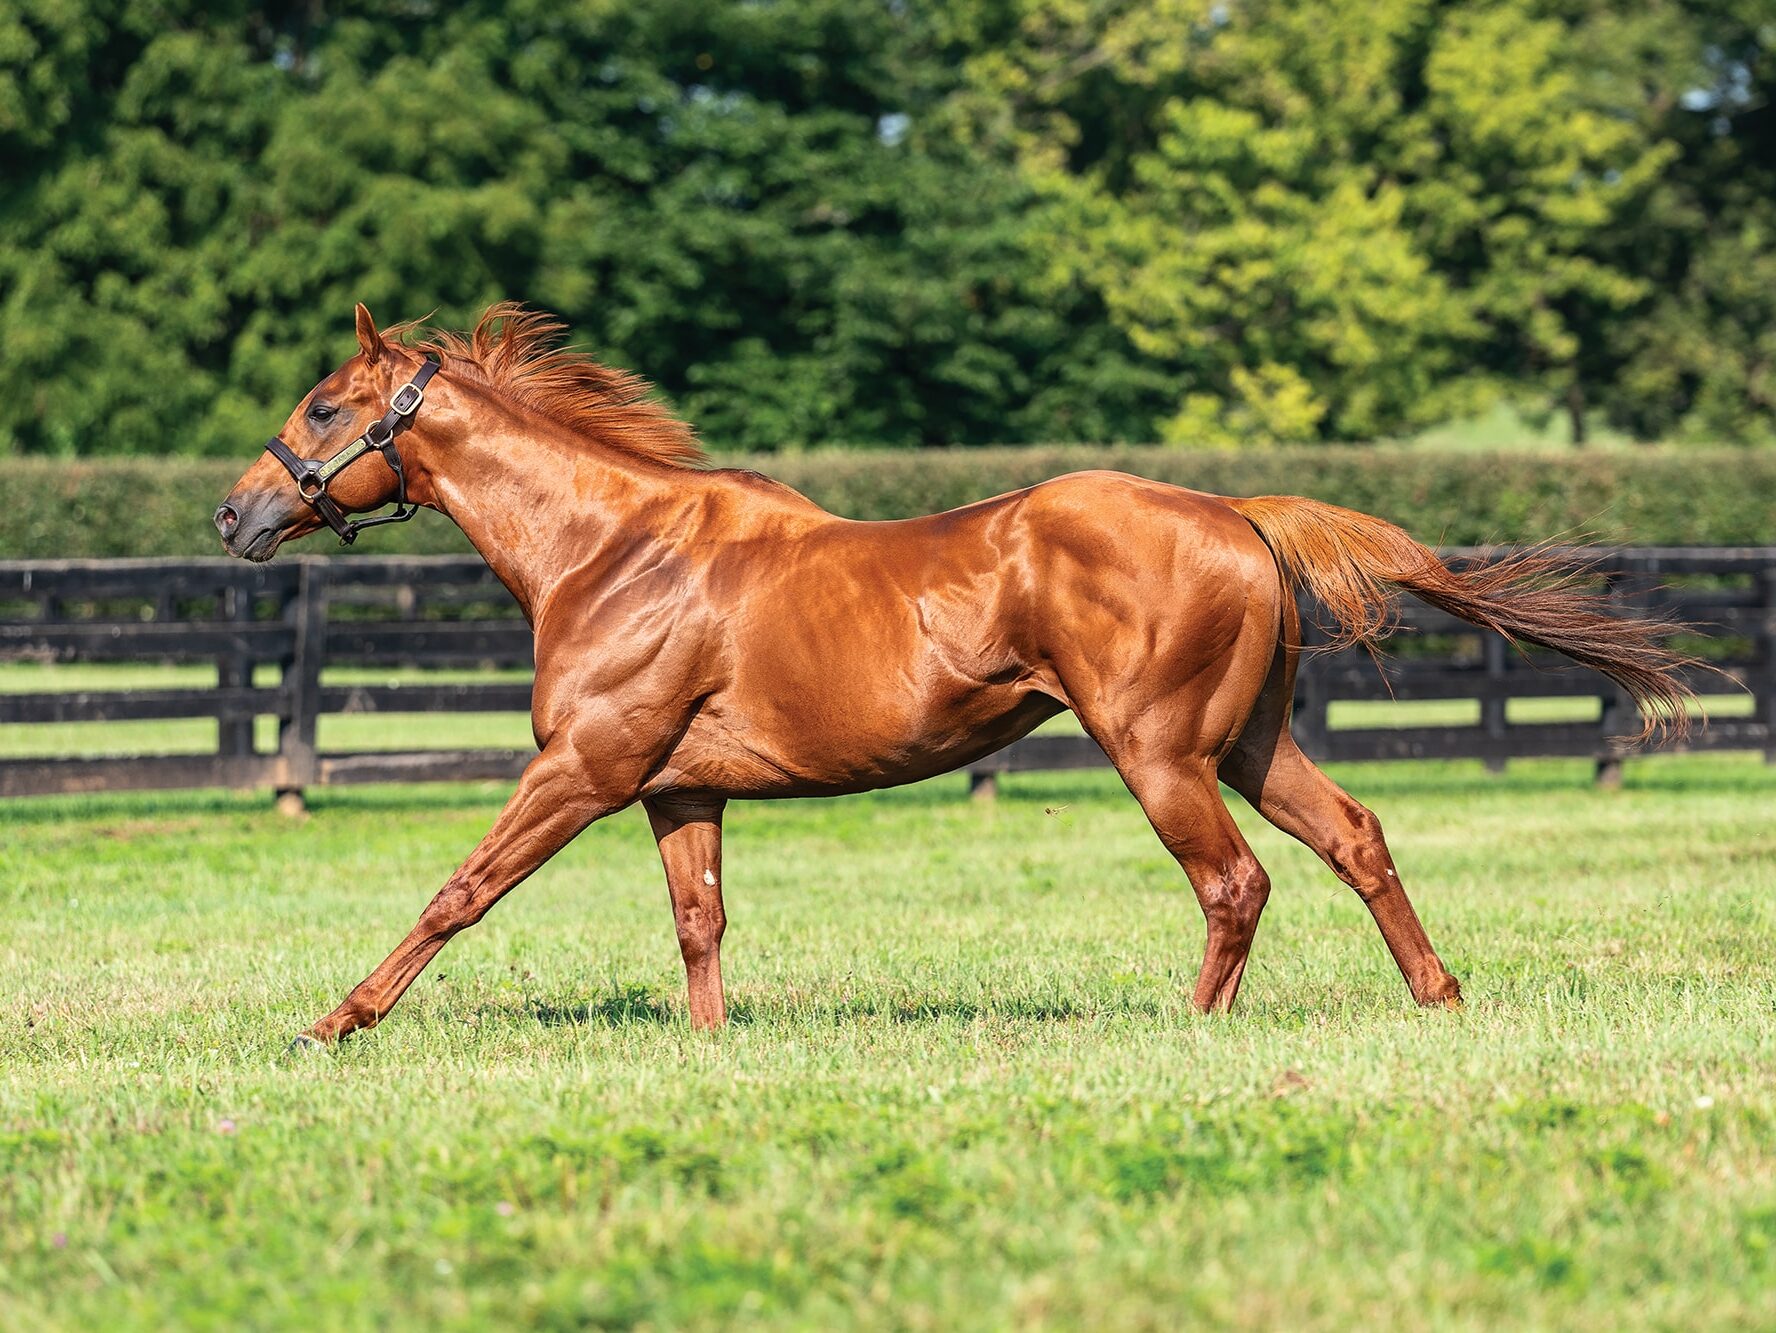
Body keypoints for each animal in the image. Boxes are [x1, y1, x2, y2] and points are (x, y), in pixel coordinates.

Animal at [216, 302, 1698, 1047]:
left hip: (1159, 752)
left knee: (1236, 881)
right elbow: (700, 923)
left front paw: (332, 1024)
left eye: (325, 408)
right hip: (1250, 743)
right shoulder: (678, 791)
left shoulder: (584, 768)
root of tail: (1238, 512)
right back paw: (1438, 997)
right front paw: (709, 1047)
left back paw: (1194, 1028)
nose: (235, 516)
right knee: (1354, 838)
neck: (616, 550)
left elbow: (458, 892)